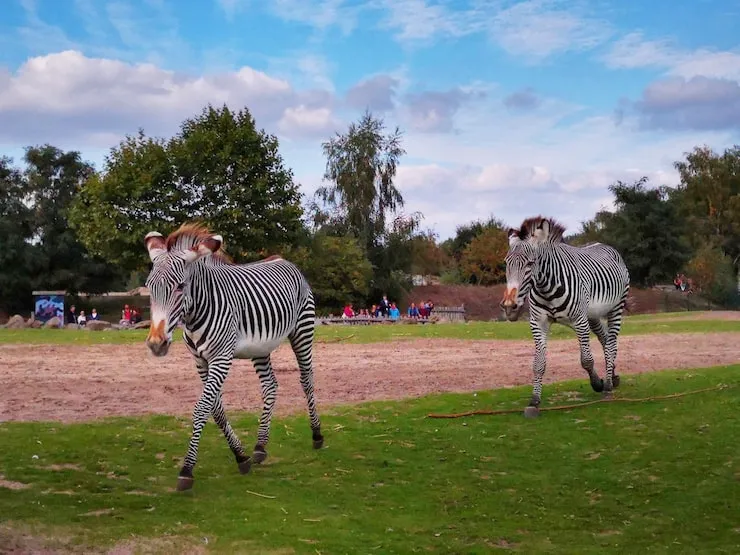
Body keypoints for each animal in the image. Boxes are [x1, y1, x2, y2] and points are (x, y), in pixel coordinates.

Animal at [143, 222, 324, 491]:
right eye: (149, 287)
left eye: (180, 287)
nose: (157, 344)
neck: (196, 313)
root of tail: (280, 258)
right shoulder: (200, 362)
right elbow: (216, 410)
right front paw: (241, 456)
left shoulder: (221, 357)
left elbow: (202, 408)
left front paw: (186, 470)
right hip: (260, 348)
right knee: (270, 385)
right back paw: (260, 446)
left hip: (302, 330)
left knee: (307, 380)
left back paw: (317, 435)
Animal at [500, 216, 630, 418]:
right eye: (506, 263)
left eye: (530, 263)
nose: (509, 307)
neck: (546, 287)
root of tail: (603, 245)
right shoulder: (538, 322)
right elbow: (538, 363)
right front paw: (534, 401)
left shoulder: (579, 320)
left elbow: (586, 360)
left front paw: (597, 383)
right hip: (592, 315)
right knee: (605, 339)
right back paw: (613, 376)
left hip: (615, 308)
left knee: (611, 343)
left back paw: (608, 385)